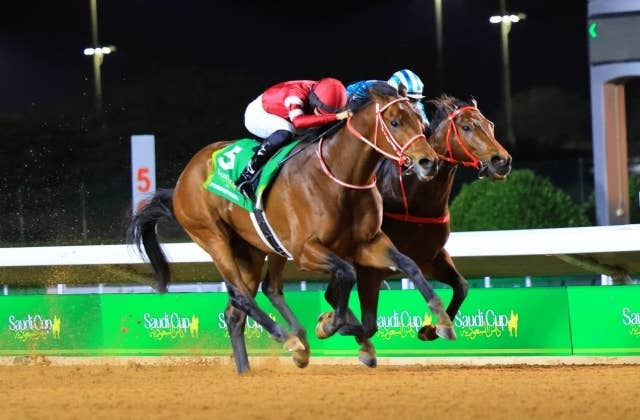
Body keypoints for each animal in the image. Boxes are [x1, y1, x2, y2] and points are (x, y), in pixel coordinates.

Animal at [128, 81, 454, 375]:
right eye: (395, 122)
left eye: (421, 123)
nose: (428, 162)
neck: (340, 176)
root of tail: (183, 180)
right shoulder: (306, 251)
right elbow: (346, 274)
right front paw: (329, 324)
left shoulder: (368, 243)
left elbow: (408, 265)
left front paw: (441, 321)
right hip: (213, 237)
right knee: (242, 296)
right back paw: (289, 339)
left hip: (256, 249)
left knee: (247, 304)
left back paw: (251, 368)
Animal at [273, 94, 512, 366]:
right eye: (467, 127)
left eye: (490, 125)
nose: (502, 161)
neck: (415, 198)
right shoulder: (369, 266)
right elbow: (369, 322)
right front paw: (328, 325)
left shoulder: (430, 257)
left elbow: (462, 286)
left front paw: (433, 329)